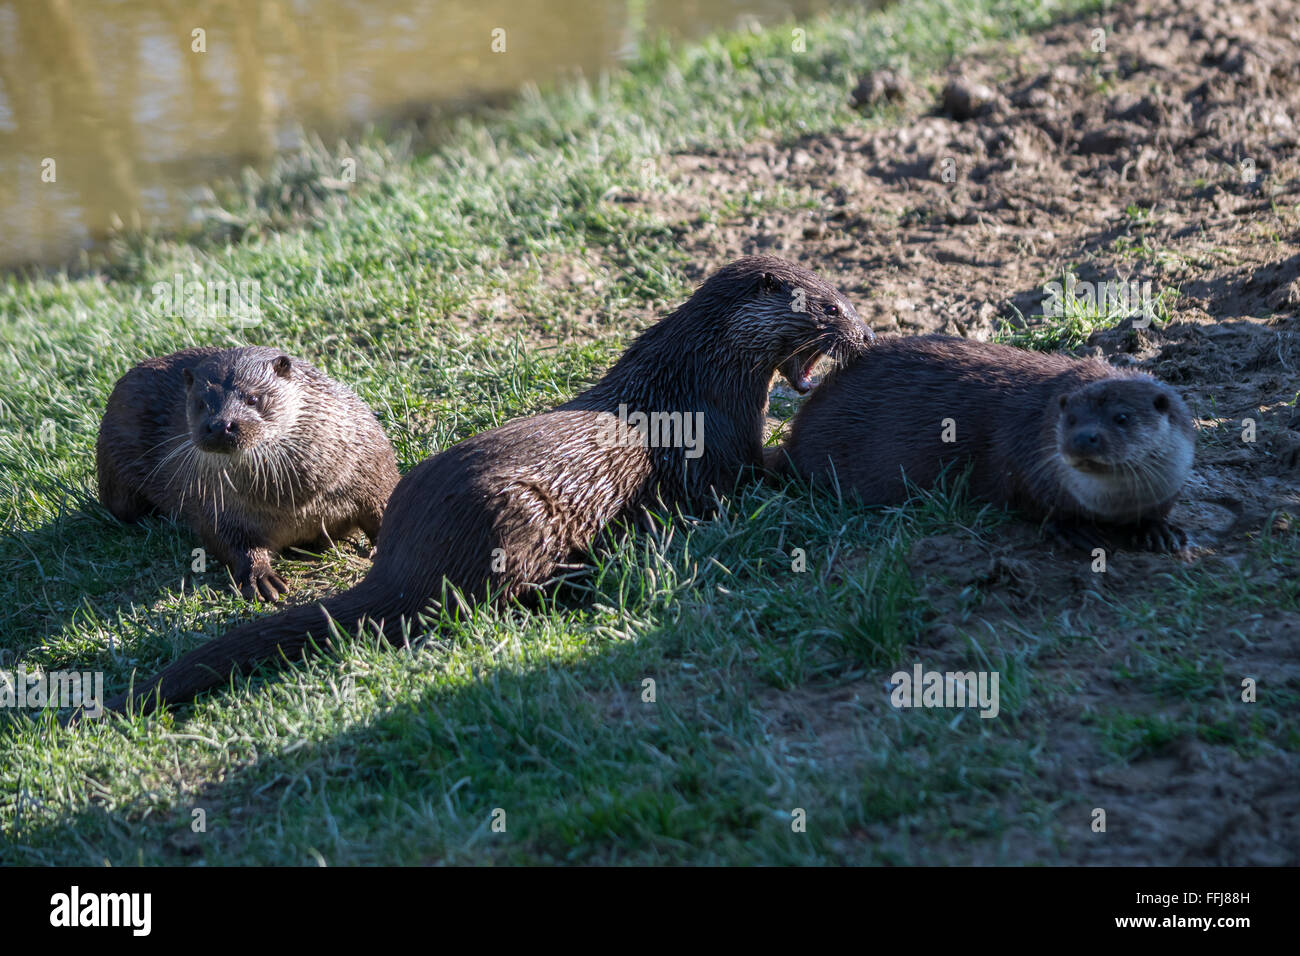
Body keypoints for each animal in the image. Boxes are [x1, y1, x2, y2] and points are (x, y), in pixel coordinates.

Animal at [96, 347, 399, 601]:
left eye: (253, 398)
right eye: (201, 403)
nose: (220, 425)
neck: (297, 500)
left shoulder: (372, 465)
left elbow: (383, 507)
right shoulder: (216, 505)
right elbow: (233, 543)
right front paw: (261, 577)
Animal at [770, 334, 1195, 551]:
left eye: (1122, 417)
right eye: (1070, 418)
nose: (1082, 439)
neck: (1110, 505)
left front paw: (1159, 530)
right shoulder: (1024, 461)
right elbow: (1034, 504)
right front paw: (1072, 529)